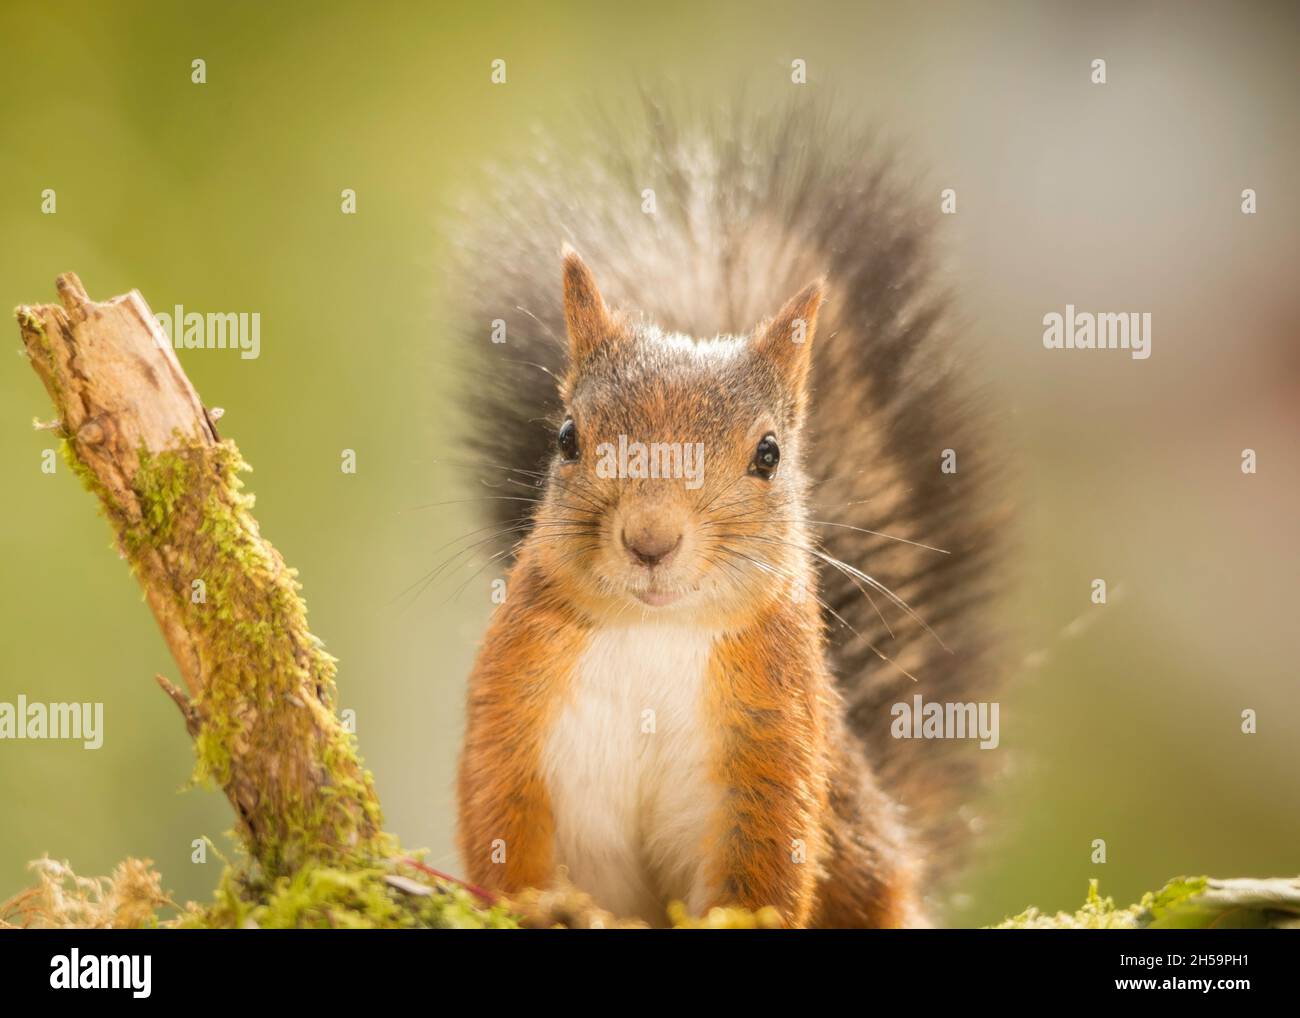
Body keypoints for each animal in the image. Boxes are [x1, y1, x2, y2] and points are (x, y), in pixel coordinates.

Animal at [451, 100, 1003, 928]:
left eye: (769, 454)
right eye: (568, 437)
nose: (651, 540)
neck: (654, 633)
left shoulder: (774, 739)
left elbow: (764, 867)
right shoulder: (515, 707)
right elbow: (502, 834)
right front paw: (543, 906)